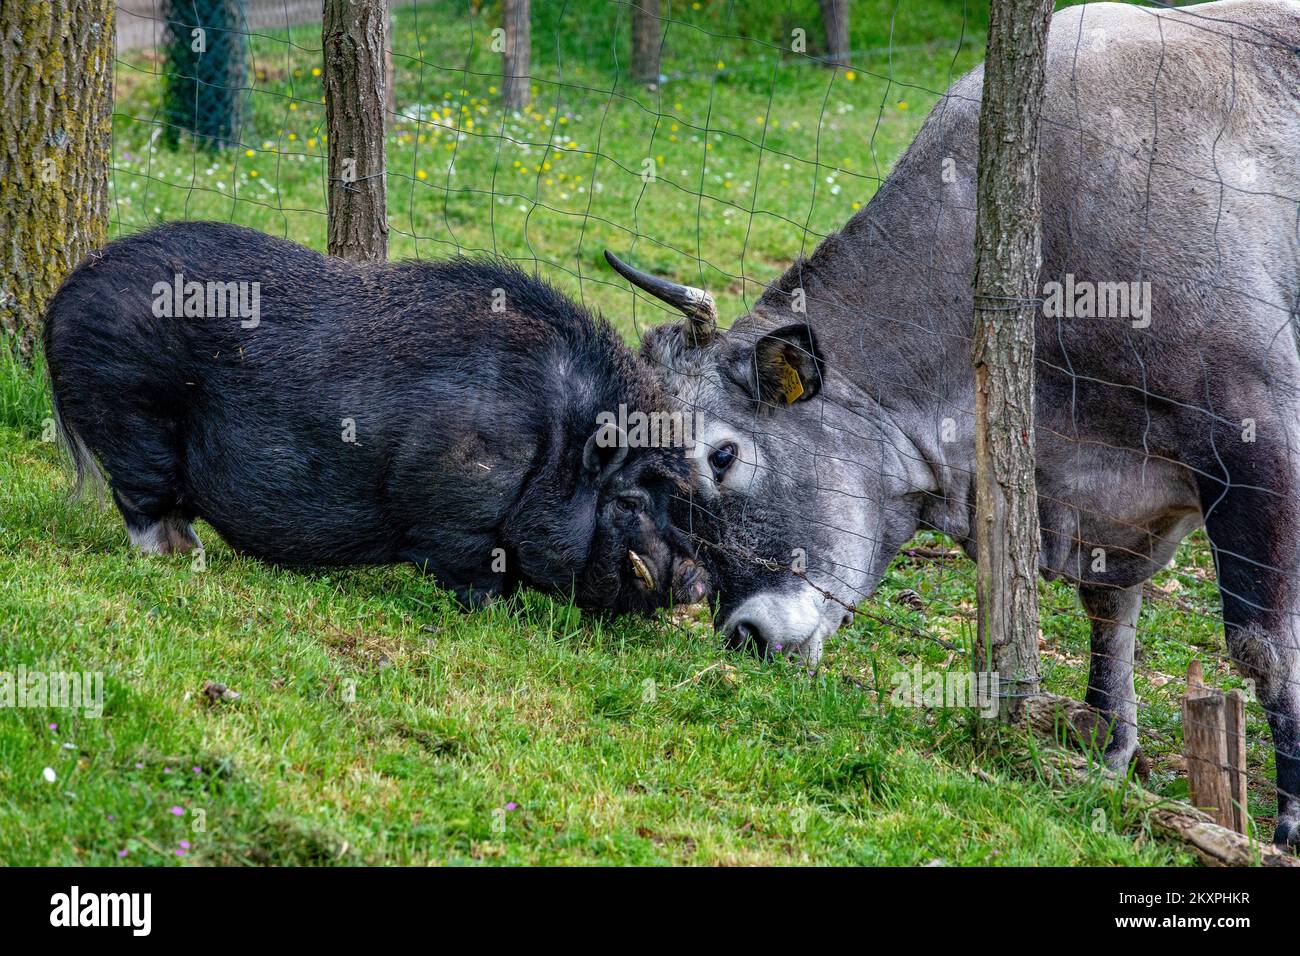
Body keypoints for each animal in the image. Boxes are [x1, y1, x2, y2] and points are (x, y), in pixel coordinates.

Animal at [43, 221, 707, 614]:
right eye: (631, 500)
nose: (698, 581)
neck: (551, 440)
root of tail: (68, 290)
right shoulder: (454, 518)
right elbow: (476, 578)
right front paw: (502, 613)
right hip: (131, 417)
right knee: (142, 503)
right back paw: (183, 558)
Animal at [605, 0, 1300, 844]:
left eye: (724, 456)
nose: (745, 637)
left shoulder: (1259, 424)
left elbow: (1265, 646)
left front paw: (1289, 819)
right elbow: (1109, 612)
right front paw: (1107, 755)